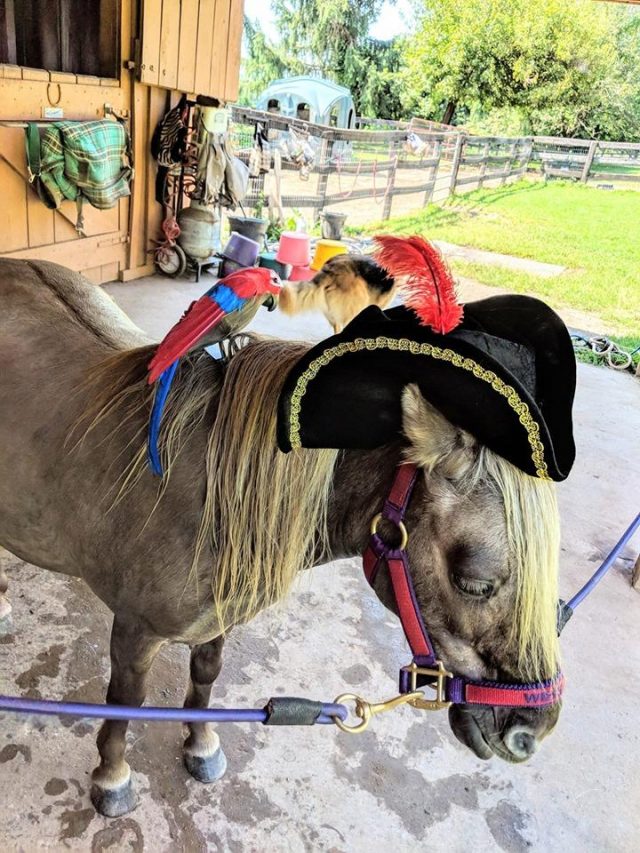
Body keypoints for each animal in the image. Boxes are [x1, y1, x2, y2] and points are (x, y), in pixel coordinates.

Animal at [0, 259, 561, 818]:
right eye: (474, 583)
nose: (530, 732)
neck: (214, 490)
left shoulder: (218, 620)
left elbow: (206, 673)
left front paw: (201, 745)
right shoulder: (136, 633)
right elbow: (123, 705)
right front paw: (113, 777)